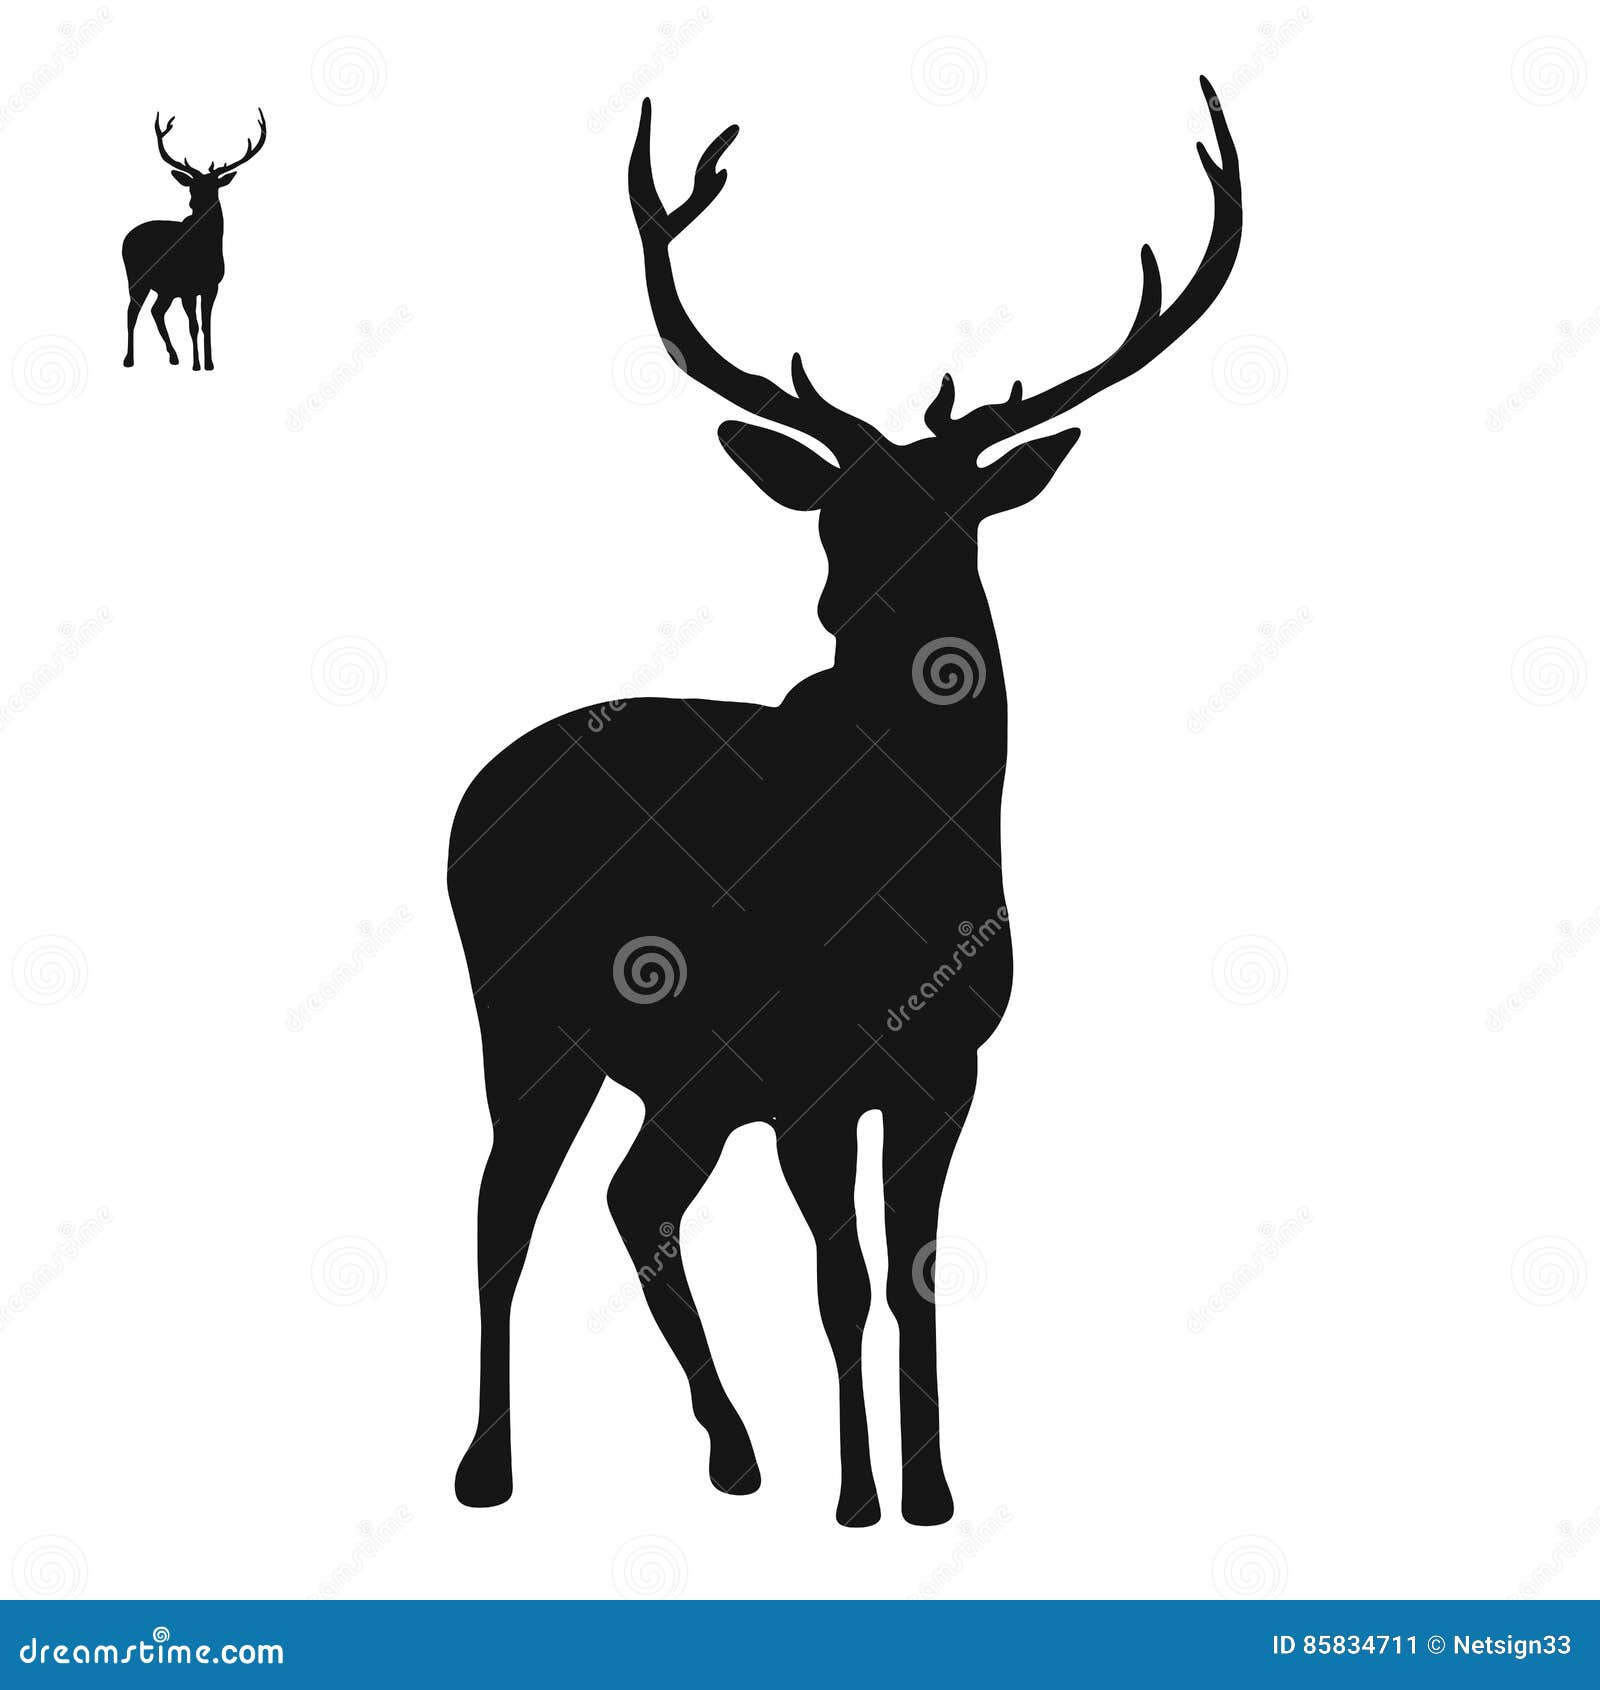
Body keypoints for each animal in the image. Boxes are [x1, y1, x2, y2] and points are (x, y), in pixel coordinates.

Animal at [121, 109, 267, 371]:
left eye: (213, 186)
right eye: (192, 186)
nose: (194, 204)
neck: (205, 250)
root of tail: (126, 236)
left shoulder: (211, 287)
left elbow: (207, 325)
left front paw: (209, 363)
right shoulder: (187, 288)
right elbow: (193, 326)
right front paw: (197, 364)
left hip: (166, 289)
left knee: (156, 311)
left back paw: (174, 356)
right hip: (137, 278)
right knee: (131, 313)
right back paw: (129, 360)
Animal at [449, 81, 1242, 1525]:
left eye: (949, 513)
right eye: (833, 509)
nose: (848, 606)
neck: (908, 865)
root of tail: (468, 797)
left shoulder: (942, 1068)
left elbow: (915, 1275)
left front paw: (931, 1490)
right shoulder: (809, 1075)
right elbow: (841, 1282)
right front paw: (862, 1497)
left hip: (688, 1075)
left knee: (632, 1196)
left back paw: (731, 1447)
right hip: (529, 1018)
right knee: (502, 1210)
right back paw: (491, 1468)